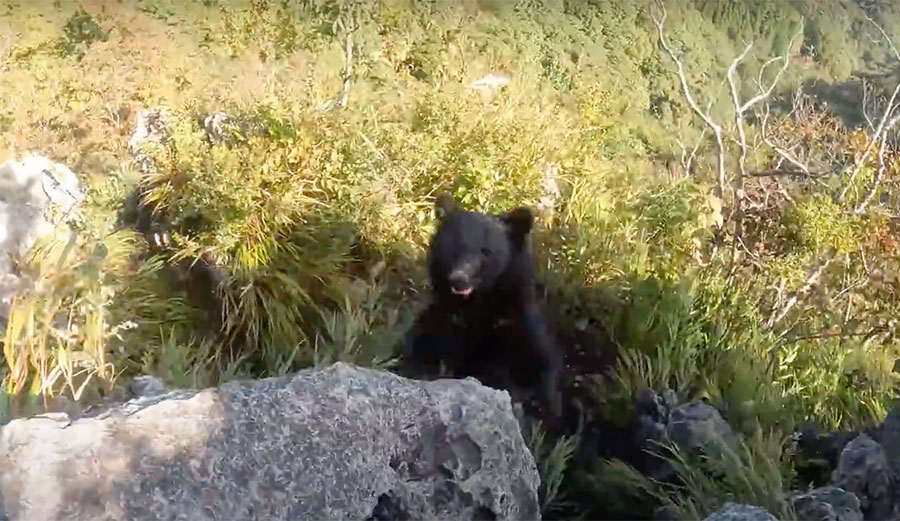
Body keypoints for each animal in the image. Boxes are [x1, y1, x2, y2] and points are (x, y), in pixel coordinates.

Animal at [403, 193, 564, 420]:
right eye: (454, 247)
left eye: (486, 252)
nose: (459, 279)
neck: (478, 305)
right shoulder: (445, 323)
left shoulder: (516, 326)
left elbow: (541, 365)